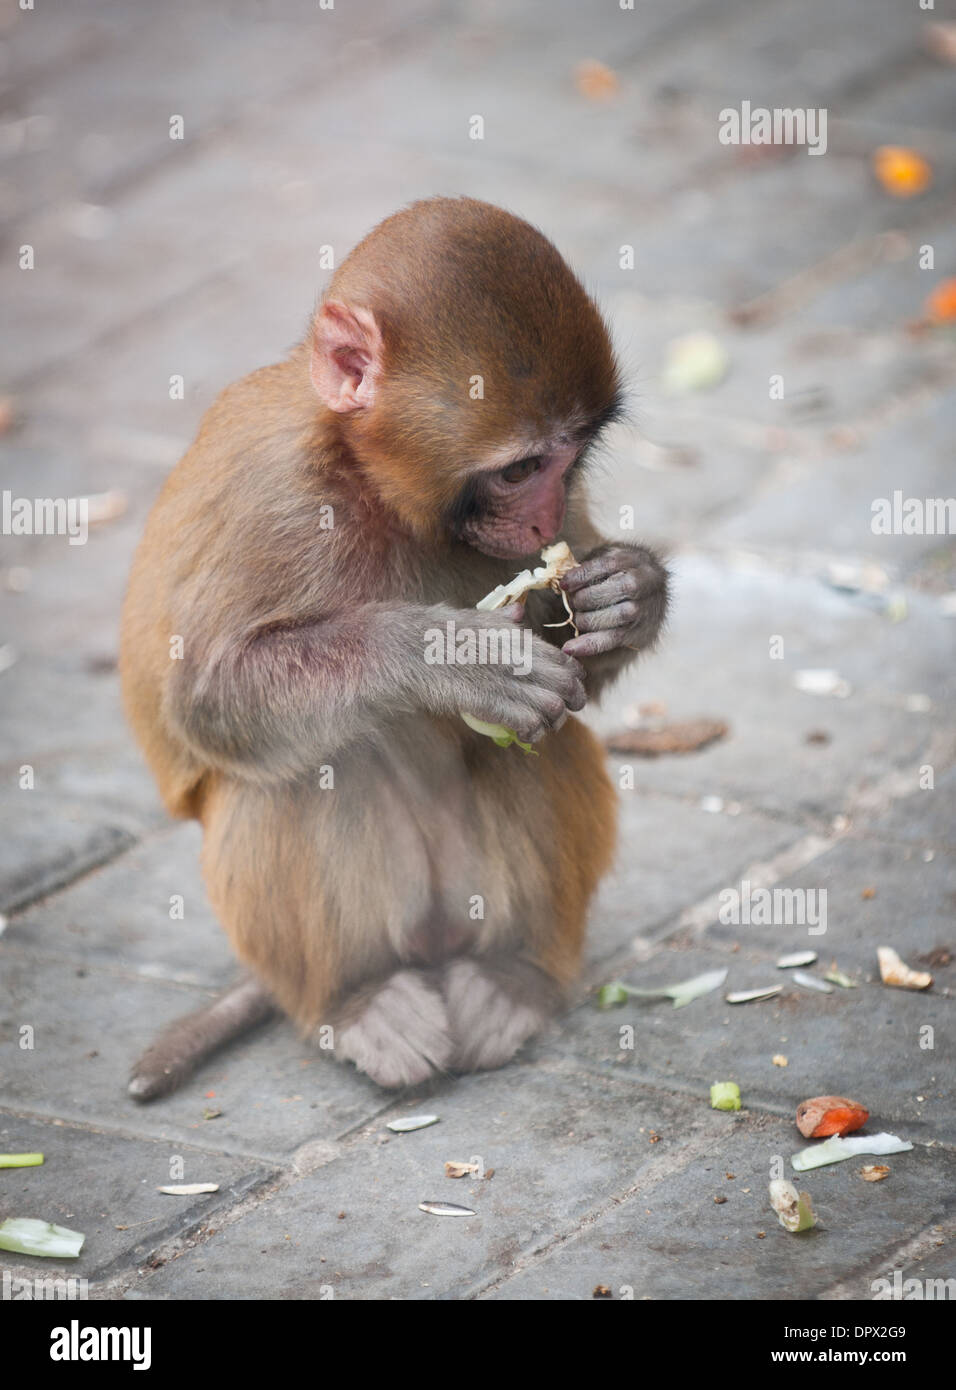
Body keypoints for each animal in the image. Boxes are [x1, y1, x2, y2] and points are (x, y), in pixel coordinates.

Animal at [119, 196, 668, 1099]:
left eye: (573, 456)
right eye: (520, 468)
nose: (547, 520)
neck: (372, 487)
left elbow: (575, 655)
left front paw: (631, 594)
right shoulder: (271, 490)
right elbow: (207, 698)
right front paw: (447, 657)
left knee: (540, 742)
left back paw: (512, 976)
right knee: (303, 772)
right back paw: (359, 997)